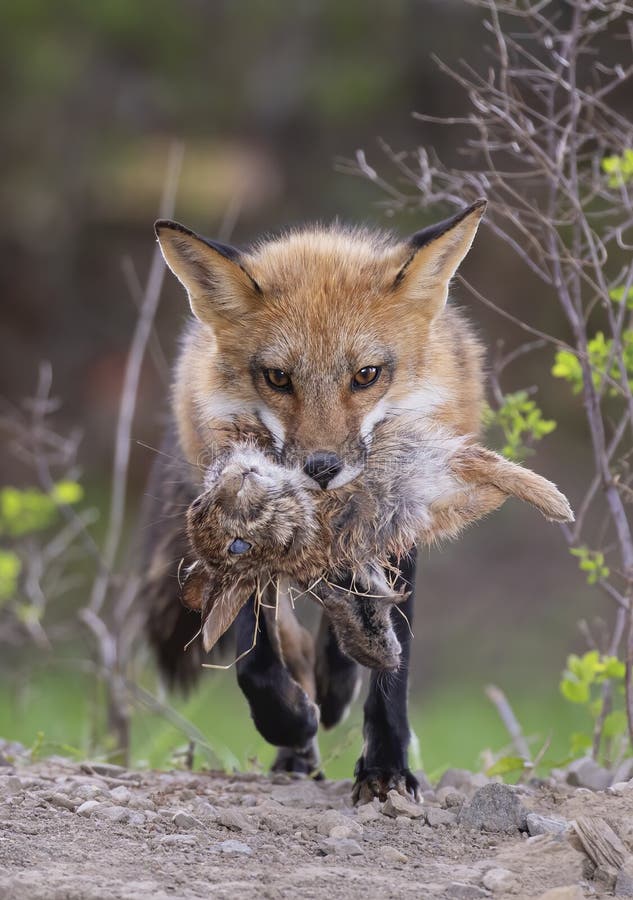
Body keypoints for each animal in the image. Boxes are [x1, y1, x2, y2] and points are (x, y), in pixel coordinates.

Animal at [142, 200, 572, 802]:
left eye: (366, 375)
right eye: (278, 378)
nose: (322, 469)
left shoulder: (400, 521)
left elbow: (395, 661)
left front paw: (386, 766)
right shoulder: (238, 529)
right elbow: (254, 655)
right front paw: (288, 722)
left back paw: (337, 680)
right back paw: (302, 734)